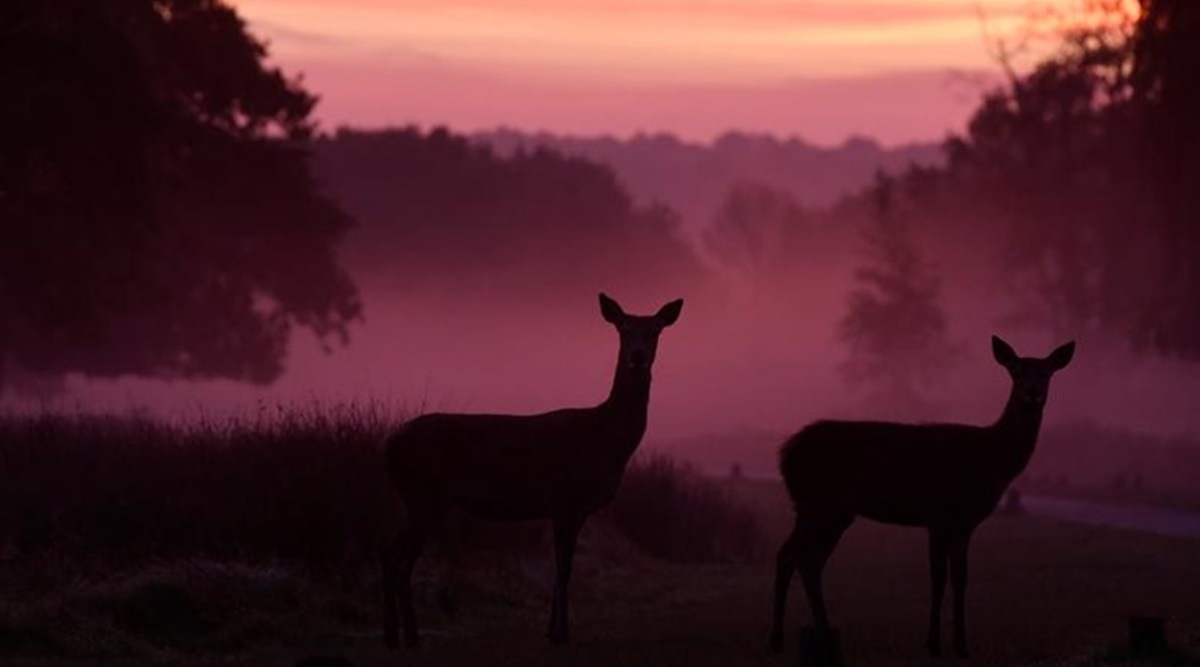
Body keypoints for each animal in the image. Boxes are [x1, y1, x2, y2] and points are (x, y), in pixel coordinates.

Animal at [381, 293, 683, 648]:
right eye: (623, 328)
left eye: (655, 330)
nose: (637, 356)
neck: (605, 440)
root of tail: (393, 441)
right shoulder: (565, 497)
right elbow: (563, 568)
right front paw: (562, 634)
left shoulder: (575, 509)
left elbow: (561, 567)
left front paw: (551, 631)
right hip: (425, 496)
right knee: (399, 559)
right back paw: (408, 636)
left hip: (419, 500)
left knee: (390, 552)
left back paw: (395, 634)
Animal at [768, 335, 1075, 658]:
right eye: (1016, 372)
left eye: (1047, 373)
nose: (1031, 394)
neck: (990, 459)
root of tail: (785, 455)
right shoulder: (938, 515)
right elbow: (937, 579)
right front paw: (933, 644)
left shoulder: (964, 523)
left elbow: (960, 578)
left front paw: (961, 645)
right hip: (817, 504)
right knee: (789, 555)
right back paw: (776, 640)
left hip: (833, 511)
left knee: (810, 561)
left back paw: (823, 630)